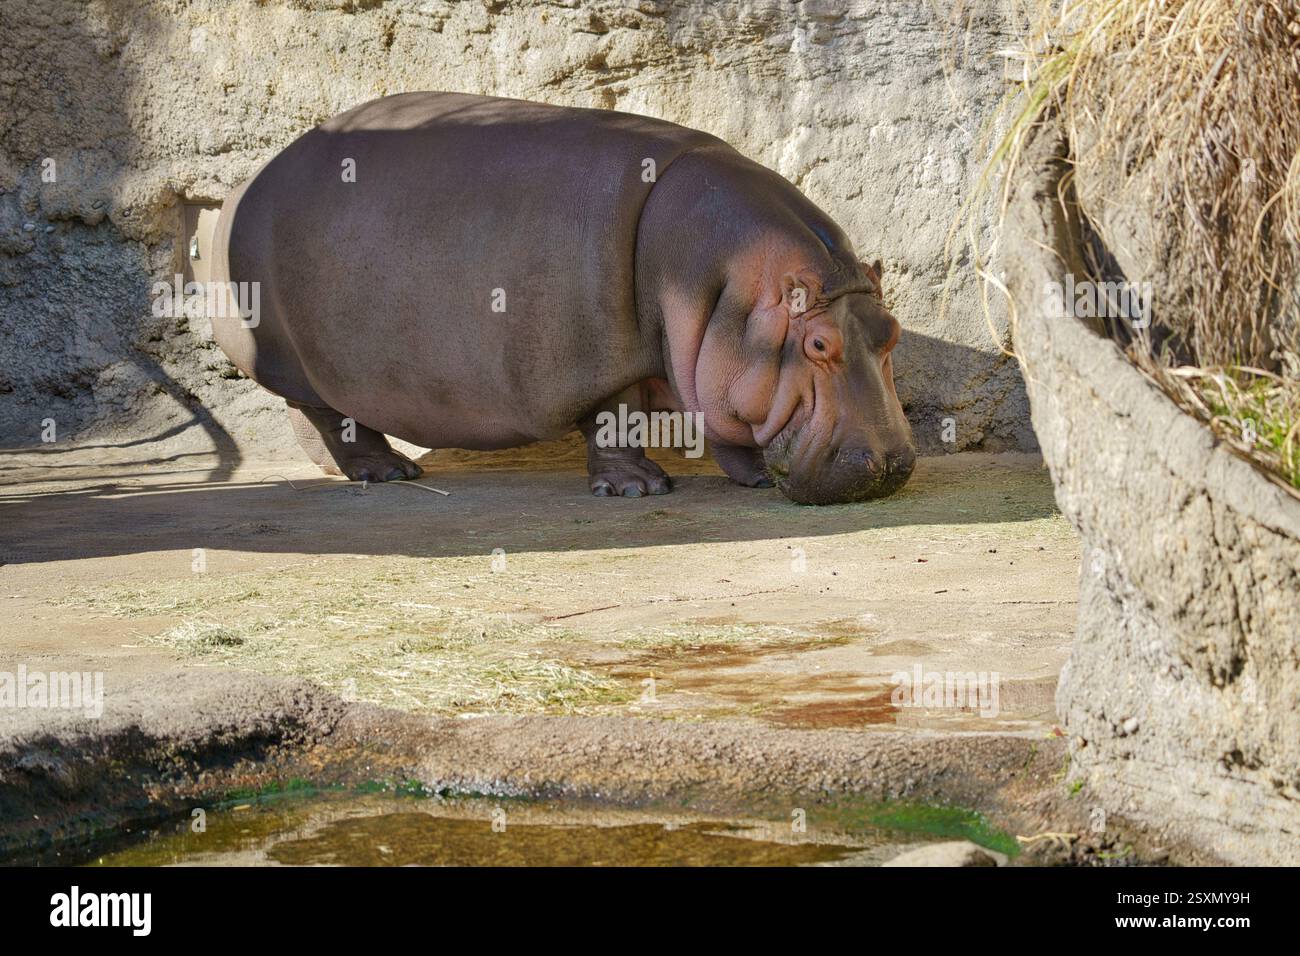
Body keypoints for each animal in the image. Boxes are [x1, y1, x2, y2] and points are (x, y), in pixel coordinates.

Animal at [211, 92, 915, 504]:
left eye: (893, 332)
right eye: (818, 343)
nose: (893, 466)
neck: (729, 287)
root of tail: (247, 182)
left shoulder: (705, 358)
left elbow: (723, 422)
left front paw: (750, 475)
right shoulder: (606, 360)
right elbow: (616, 417)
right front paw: (639, 490)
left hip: (311, 366)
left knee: (316, 415)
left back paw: (354, 473)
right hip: (286, 355)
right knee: (329, 416)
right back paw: (387, 474)